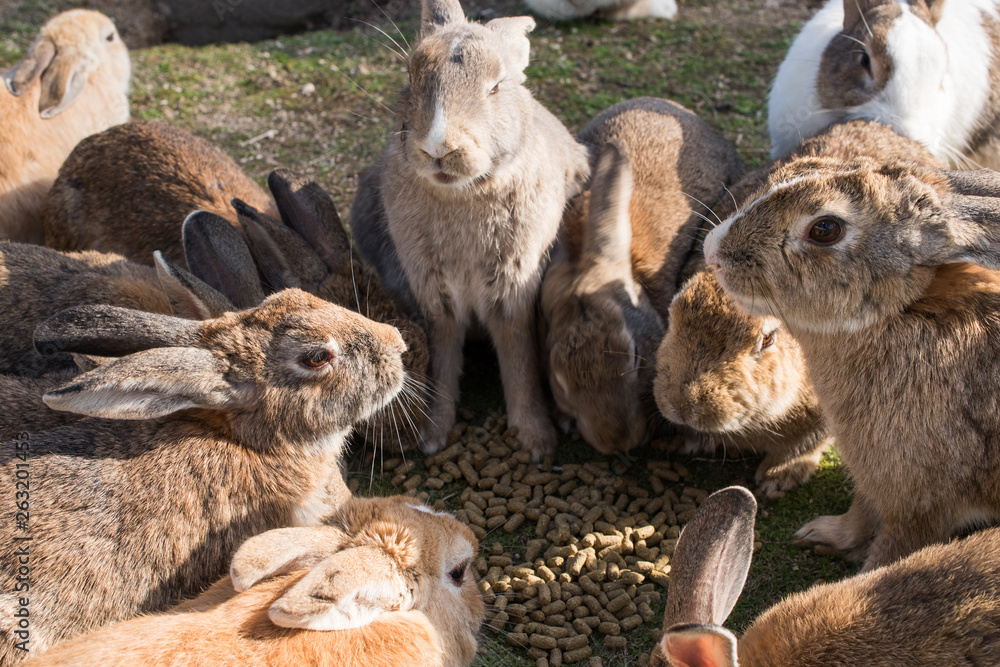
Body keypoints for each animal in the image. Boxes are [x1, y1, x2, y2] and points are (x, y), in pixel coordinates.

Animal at [354, 0, 591, 459]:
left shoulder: (513, 288)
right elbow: (444, 360)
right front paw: (432, 435)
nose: (437, 146)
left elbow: (518, 359)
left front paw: (537, 441)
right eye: (411, 75)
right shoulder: (435, 296)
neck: (462, 193)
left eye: (496, 87)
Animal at [702, 155, 1000, 571]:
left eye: (825, 229)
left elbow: (892, 552)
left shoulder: (919, 501)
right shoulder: (873, 478)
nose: (712, 250)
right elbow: (860, 512)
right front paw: (820, 535)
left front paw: (862, 570)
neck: (901, 313)